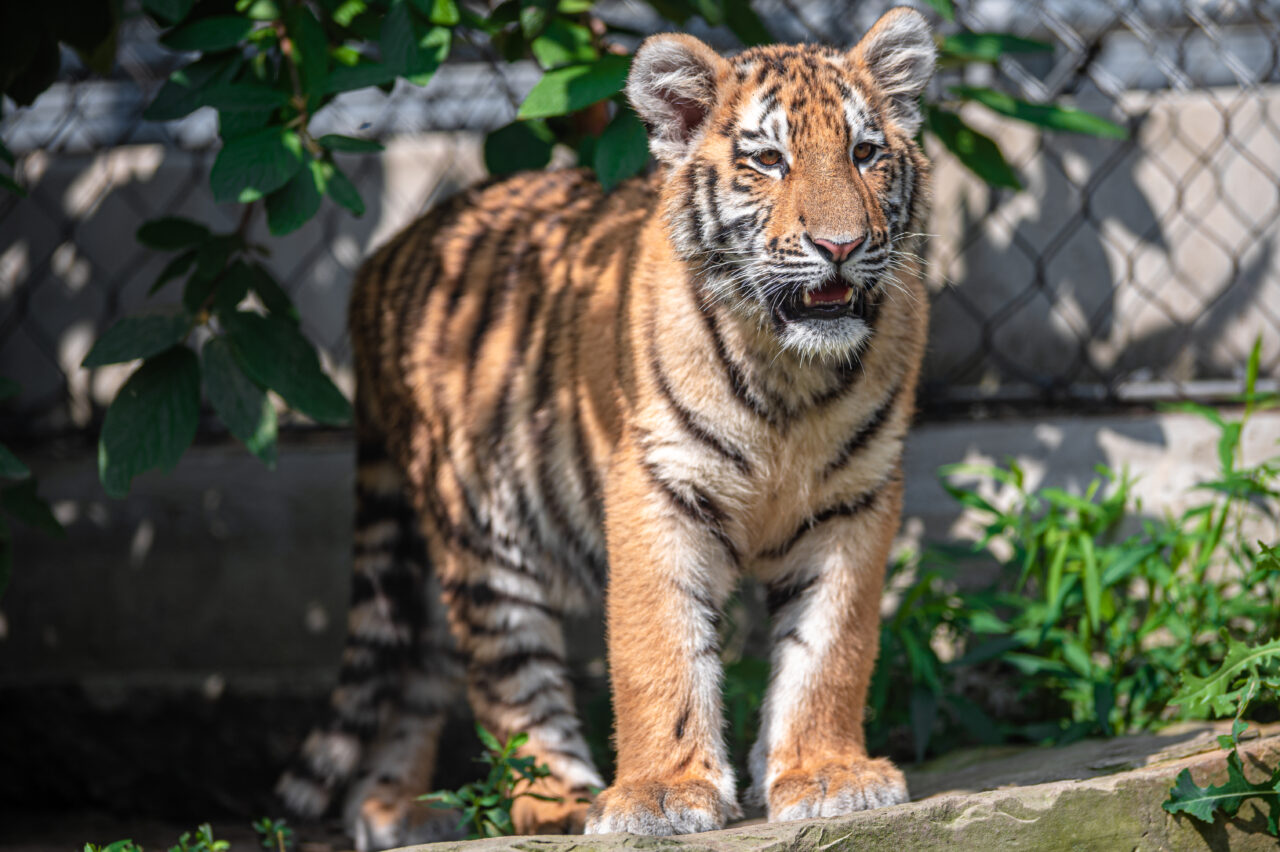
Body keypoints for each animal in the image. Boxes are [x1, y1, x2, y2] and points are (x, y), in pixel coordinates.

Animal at [277, 7, 936, 847]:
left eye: (865, 154)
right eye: (769, 161)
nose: (841, 246)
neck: (791, 374)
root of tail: (381, 258)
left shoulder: (855, 502)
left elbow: (831, 649)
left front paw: (828, 775)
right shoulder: (657, 491)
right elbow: (660, 649)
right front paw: (661, 796)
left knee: (424, 666)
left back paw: (397, 806)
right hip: (480, 534)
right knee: (508, 683)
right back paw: (555, 801)